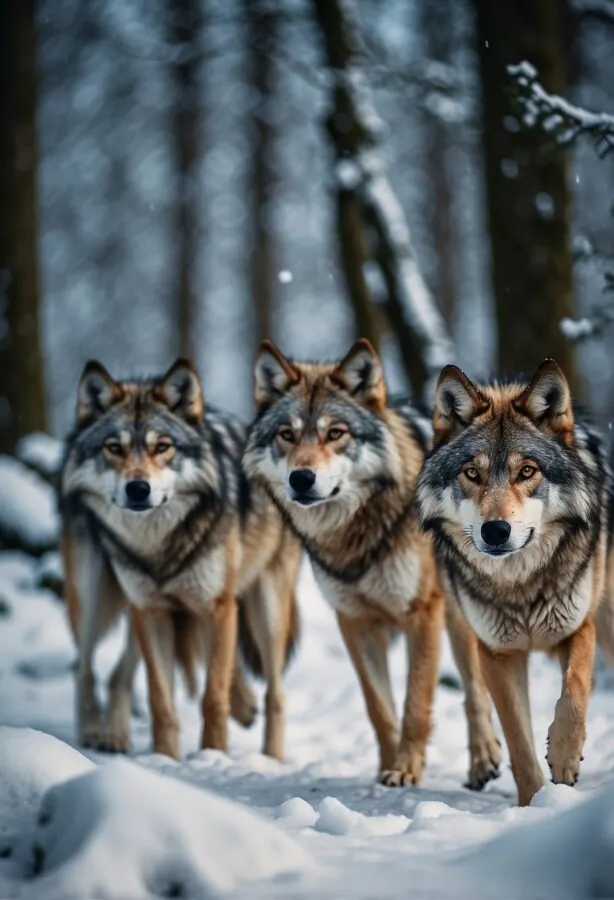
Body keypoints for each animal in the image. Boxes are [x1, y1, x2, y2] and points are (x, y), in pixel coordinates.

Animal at [60, 358, 301, 761]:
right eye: (114, 448)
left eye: (163, 447)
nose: (137, 488)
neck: (159, 546)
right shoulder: (150, 609)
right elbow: (161, 700)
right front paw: (166, 759)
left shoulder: (217, 606)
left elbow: (212, 694)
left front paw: (213, 755)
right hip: (97, 599)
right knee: (86, 666)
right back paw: (99, 733)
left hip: (265, 608)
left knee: (276, 692)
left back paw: (271, 755)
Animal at [243, 338, 502, 789]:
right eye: (286, 435)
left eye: (335, 433)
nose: (301, 479)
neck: (353, 535)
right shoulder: (353, 619)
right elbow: (378, 707)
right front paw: (387, 766)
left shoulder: (422, 613)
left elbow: (415, 704)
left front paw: (406, 770)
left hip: (458, 615)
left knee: (475, 689)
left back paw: (484, 761)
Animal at [416, 358, 614, 805]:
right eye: (472, 473)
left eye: (527, 471)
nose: (495, 531)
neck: (520, 586)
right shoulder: (498, 652)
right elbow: (518, 743)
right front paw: (534, 804)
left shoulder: (579, 628)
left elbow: (574, 694)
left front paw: (563, 759)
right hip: (459, 627)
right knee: (473, 695)